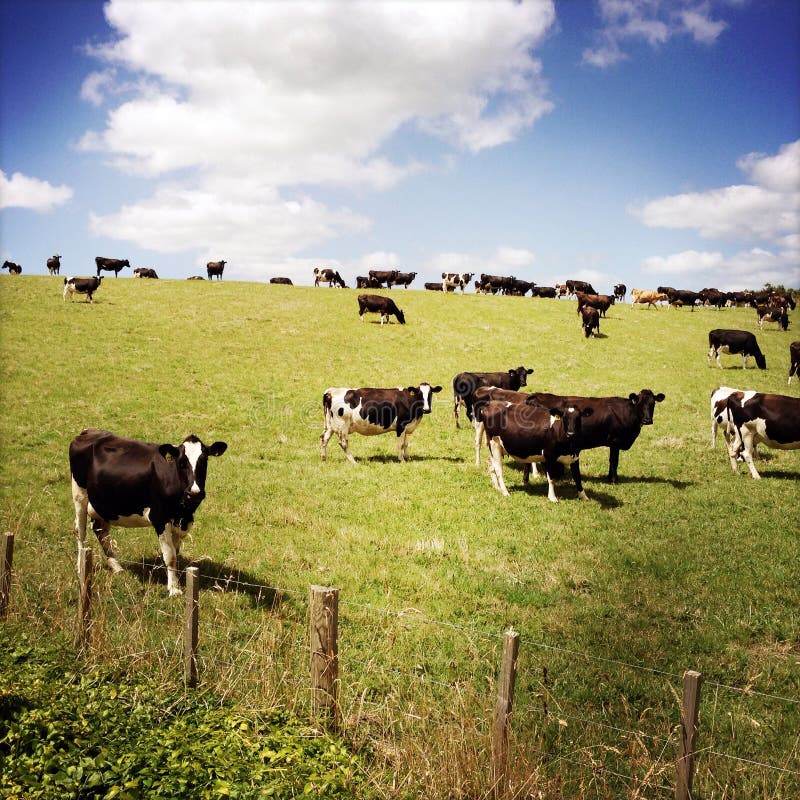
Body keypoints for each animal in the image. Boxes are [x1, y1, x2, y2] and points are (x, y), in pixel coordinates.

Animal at [69, 428, 227, 596]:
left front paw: (175, 581)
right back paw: (80, 566)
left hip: (104, 504)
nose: (195, 492)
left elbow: (175, 552)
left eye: (204, 461)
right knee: (80, 532)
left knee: (101, 531)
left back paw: (116, 567)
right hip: (79, 495)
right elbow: (170, 555)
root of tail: (88, 431)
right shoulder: (160, 518)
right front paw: (174, 589)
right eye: (181, 463)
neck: (183, 510)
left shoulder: (183, 520)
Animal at [523, 389, 666, 483]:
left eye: (652, 404)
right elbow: (614, 461)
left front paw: (610, 478)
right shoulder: (615, 441)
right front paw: (614, 480)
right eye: (640, 403)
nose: (647, 420)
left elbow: (612, 460)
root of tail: (535, 395)